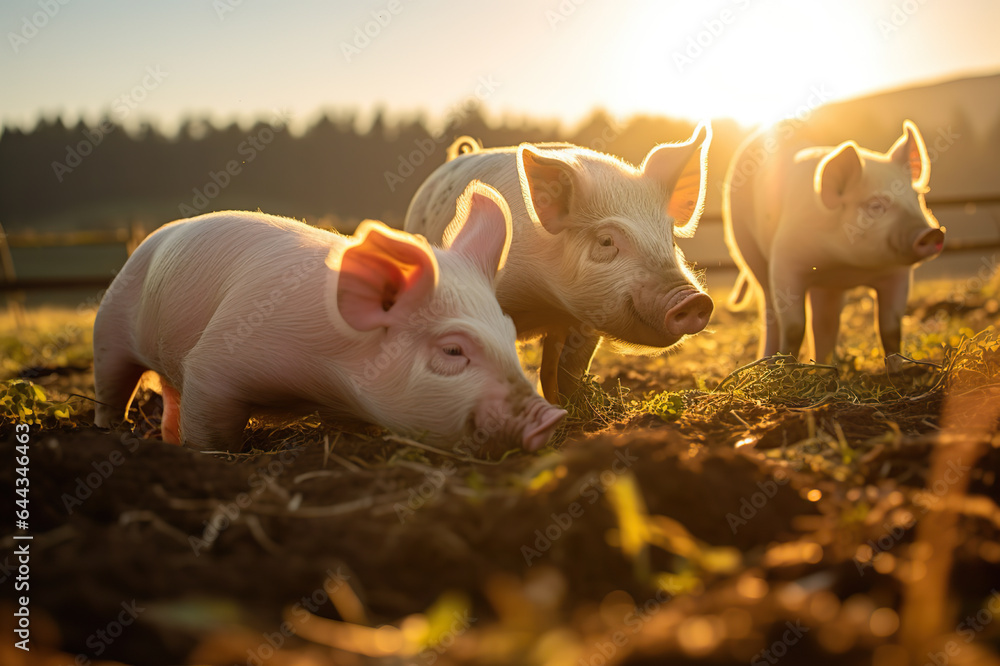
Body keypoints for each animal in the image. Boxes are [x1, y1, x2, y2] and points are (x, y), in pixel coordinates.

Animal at [92, 181, 566, 453]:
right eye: (453, 350)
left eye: (509, 334)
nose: (553, 417)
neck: (324, 376)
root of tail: (153, 237)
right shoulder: (216, 365)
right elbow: (211, 429)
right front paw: (215, 457)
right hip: (109, 326)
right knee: (114, 387)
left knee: (170, 392)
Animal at [404, 123, 715, 403]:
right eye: (606, 241)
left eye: (670, 239)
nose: (693, 299)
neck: (545, 300)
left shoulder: (584, 321)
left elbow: (569, 369)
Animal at [723, 119, 945, 364]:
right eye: (875, 206)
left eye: (917, 199)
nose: (932, 232)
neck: (843, 263)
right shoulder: (784, 263)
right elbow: (794, 327)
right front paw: (787, 368)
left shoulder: (897, 274)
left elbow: (891, 329)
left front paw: (901, 369)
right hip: (747, 247)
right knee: (769, 308)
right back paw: (769, 363)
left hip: (827, 289)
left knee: (825, 321)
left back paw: (825, 366)